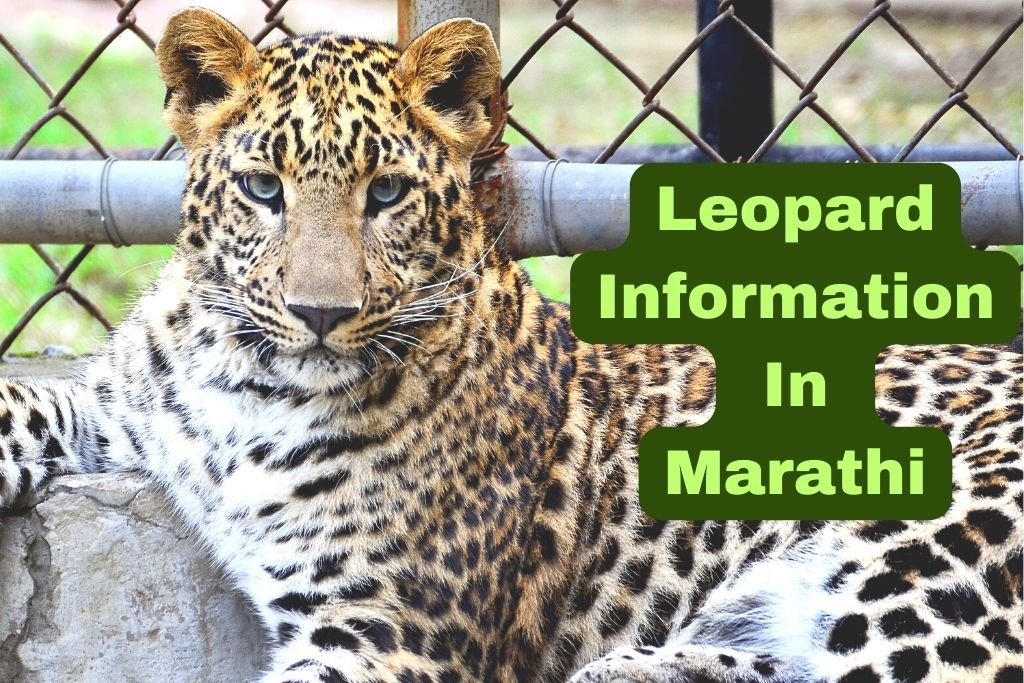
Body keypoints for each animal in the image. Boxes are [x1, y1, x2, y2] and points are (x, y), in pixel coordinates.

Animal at [0, 7, 1021, 683]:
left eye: (385, 194)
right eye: (262, 188)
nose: (320, 312)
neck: (248, 381)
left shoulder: (383, 632)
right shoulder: (117, 405)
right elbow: (21, 404)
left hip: (933, 558)